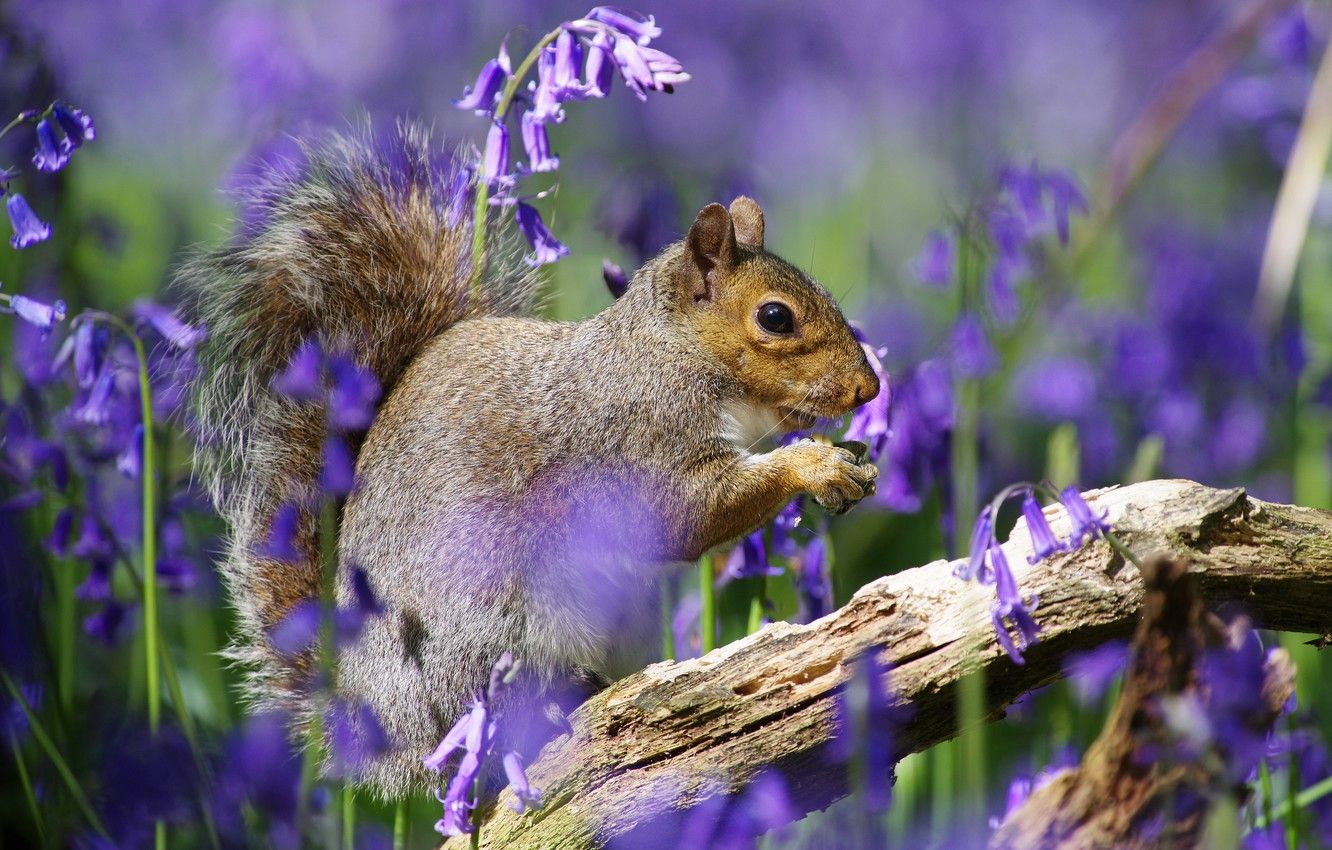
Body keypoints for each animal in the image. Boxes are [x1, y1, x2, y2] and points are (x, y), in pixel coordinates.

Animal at [183, 122, 879, 797]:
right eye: (775, 317)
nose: (868, 390)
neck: (665, 354)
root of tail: (367, 720)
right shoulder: (636, 443)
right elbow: (690, 514)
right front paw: (814, 466)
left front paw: (847, 452)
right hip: (486, 625)